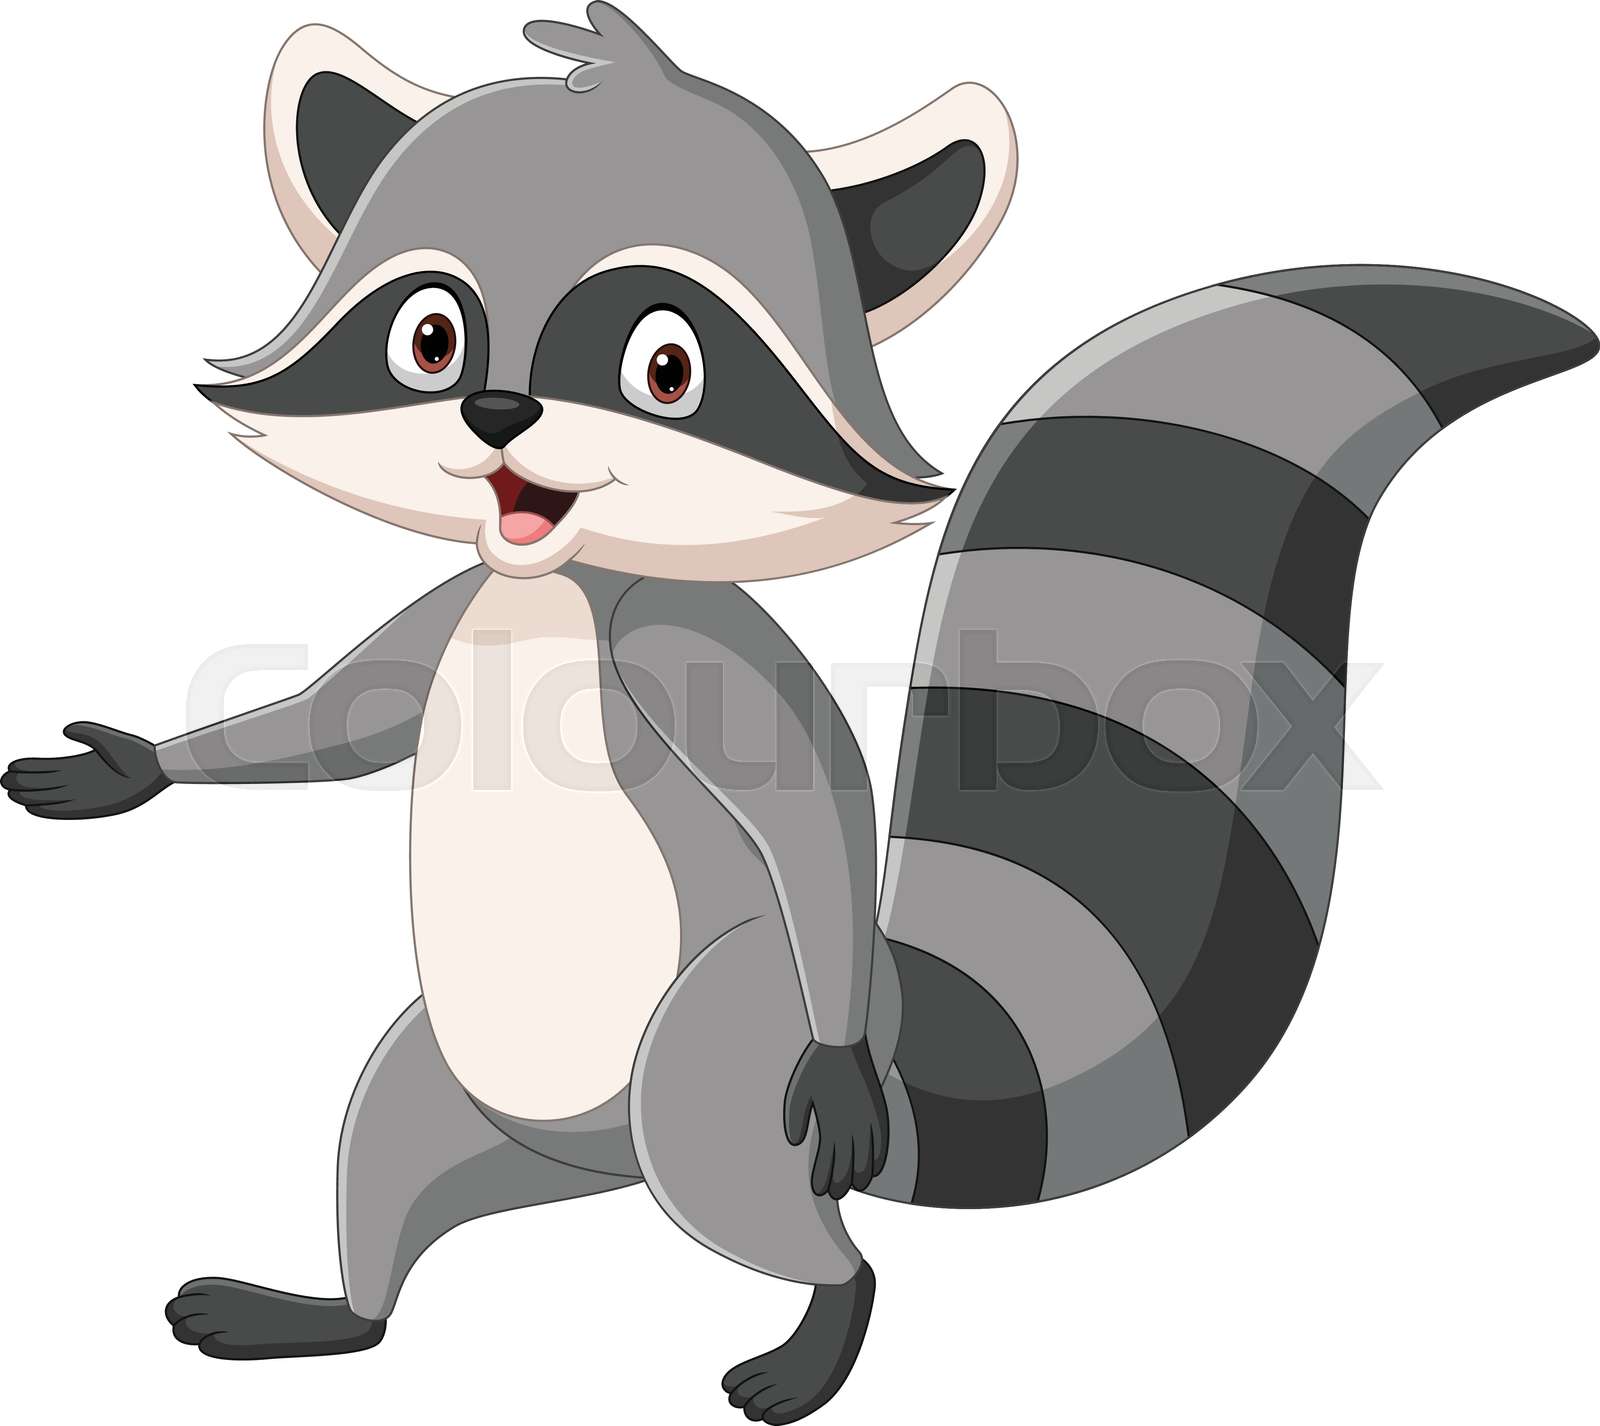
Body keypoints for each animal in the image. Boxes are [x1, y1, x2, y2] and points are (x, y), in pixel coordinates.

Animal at [4, 6, 1594, 1422]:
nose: (498, 414)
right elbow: (344, 718)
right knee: (386, 1143)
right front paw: (141, 763)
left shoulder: (688, 648)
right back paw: (336, 1308)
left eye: (666, 364)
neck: (553, 587)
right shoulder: (458, 602)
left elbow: (800, 804)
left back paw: (829, 1306)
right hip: (458, 1076)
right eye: (430, 337)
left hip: (719, 1038)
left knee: (741, 1159)